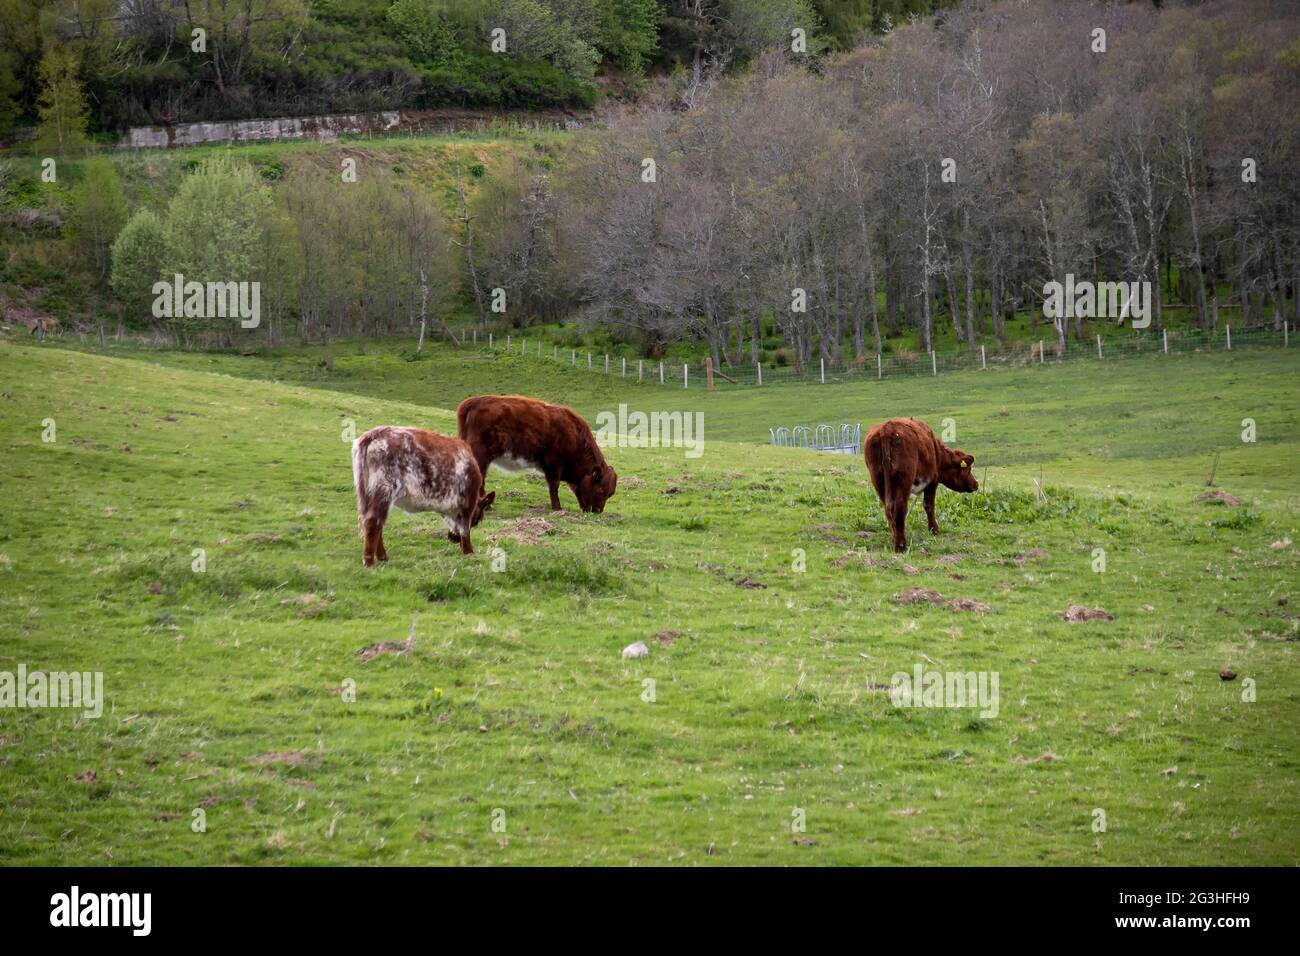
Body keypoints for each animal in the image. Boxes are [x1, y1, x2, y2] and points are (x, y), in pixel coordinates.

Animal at [351, 425, 494, 565]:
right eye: (477, 520)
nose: (454, 539)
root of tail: (375, 433)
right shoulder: (468, 502)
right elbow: (465, 531)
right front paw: (469, 553)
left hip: (368, 492)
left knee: (375, 522)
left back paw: (382, 557)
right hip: (384, 489)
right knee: (373, 521)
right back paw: (369, 562)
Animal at [456, 395, 617, 513]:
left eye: (610, 493)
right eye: (601, 490)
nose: (598, 511)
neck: (574, 434)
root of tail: (475, 401)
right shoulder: (554, 465)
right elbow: (554, 486)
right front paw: (557, 508)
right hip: (480, 457)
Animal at [863, 417, 978, 553]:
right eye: (968, 469)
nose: (976, 484)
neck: (936, 451)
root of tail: (887, 429)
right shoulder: (933, 481)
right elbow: (929, 505)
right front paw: (934, 530)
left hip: (878, 479)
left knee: (888, 507)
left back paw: (894, 537)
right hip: (904, 480)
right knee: (899, 507)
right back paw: (901, 545)